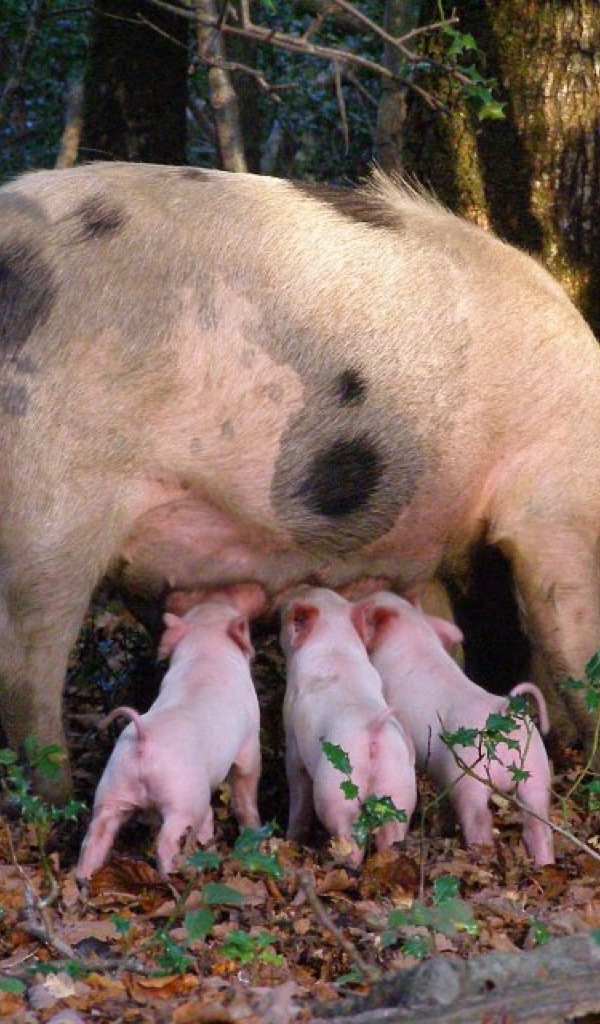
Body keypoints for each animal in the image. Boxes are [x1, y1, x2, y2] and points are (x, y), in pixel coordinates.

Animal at [1, 161, 600, 802]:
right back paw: (58, 803)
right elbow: (570, 634)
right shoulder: (552, 510)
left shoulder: (426, 551)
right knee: (27, 669)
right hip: (50, 507)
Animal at [76, 596, 261, 879]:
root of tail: (144, 740)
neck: (206, 650)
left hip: (112, 787)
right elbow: (246, 782)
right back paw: (174, 876)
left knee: (96, 834)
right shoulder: (249, 739)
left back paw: (84, 879)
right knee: (167, 840)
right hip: (182, 796)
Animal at [280, 587, 416, 862]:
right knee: (391, 835)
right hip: (400, 787)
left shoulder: (293, 737)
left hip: (336, 789)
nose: (292, 594)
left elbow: (297, 783)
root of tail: (374, 731)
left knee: (350, 837)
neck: (334, 643)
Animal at [356, 592, 554, 866]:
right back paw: (545, 863)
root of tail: (504, 711)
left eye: (373, 604)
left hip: (469, 774)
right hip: (535, 770)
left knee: (479, 817)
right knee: (539, 823)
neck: (415, 634)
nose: (364, 596)